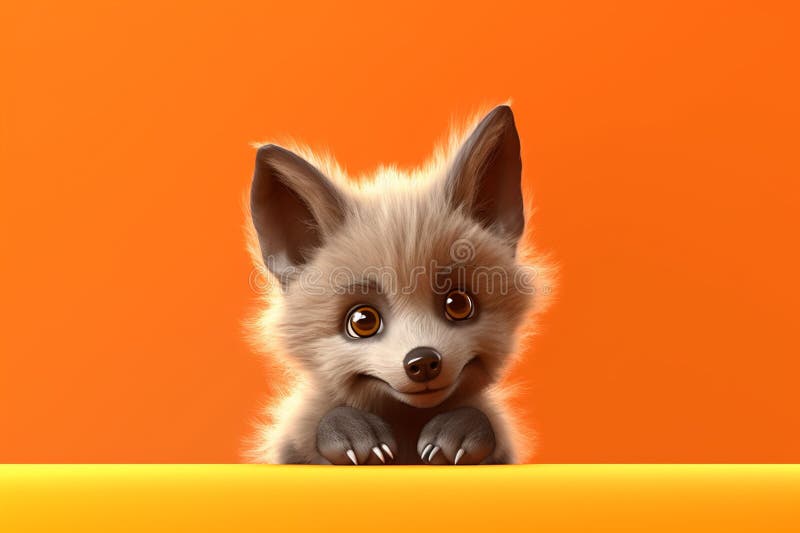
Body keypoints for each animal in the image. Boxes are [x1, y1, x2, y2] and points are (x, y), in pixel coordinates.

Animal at [245, 105, 553, 465]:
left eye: (459, 305)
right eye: (362, 321)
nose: (422, 362)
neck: (406, 426)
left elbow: (479, 422)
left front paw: (456, 432)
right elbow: (323, 423)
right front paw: (354, 433)